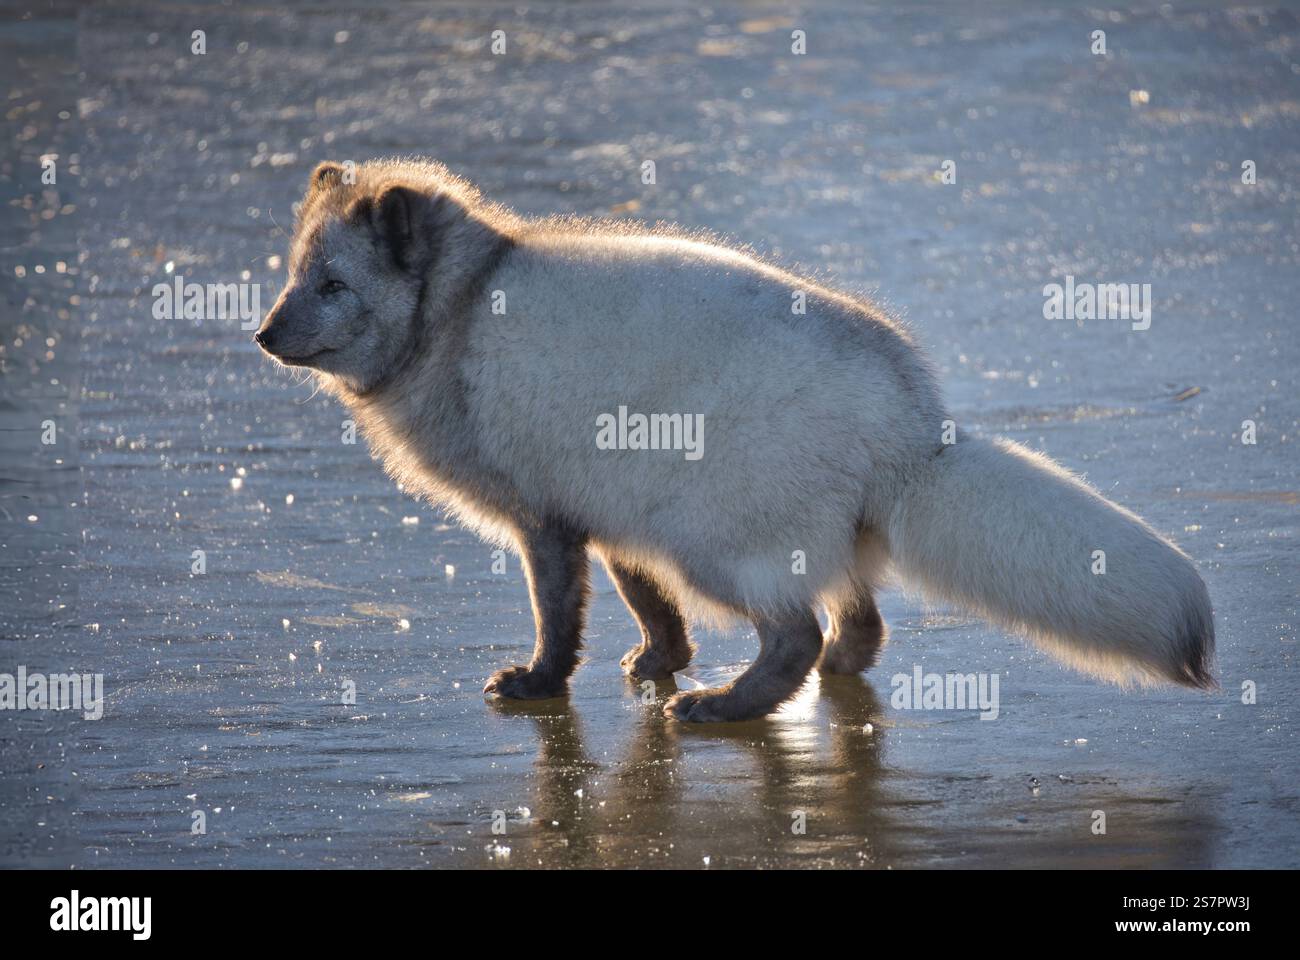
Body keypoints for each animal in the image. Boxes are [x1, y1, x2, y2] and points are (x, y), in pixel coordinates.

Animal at [254, 157, 1215, 723]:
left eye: (334, 286)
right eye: (295, 274)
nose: (262, 335)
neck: (453, 314)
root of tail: (910, 419)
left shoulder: (544, 519)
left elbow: (559, 616)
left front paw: (540, 683)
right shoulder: (608, 509)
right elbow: (645, 599)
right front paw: (660, 661)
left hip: (711, 539)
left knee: (797, 635)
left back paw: (724, 706)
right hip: (790, 530)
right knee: (857, 617)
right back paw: (821, 676)